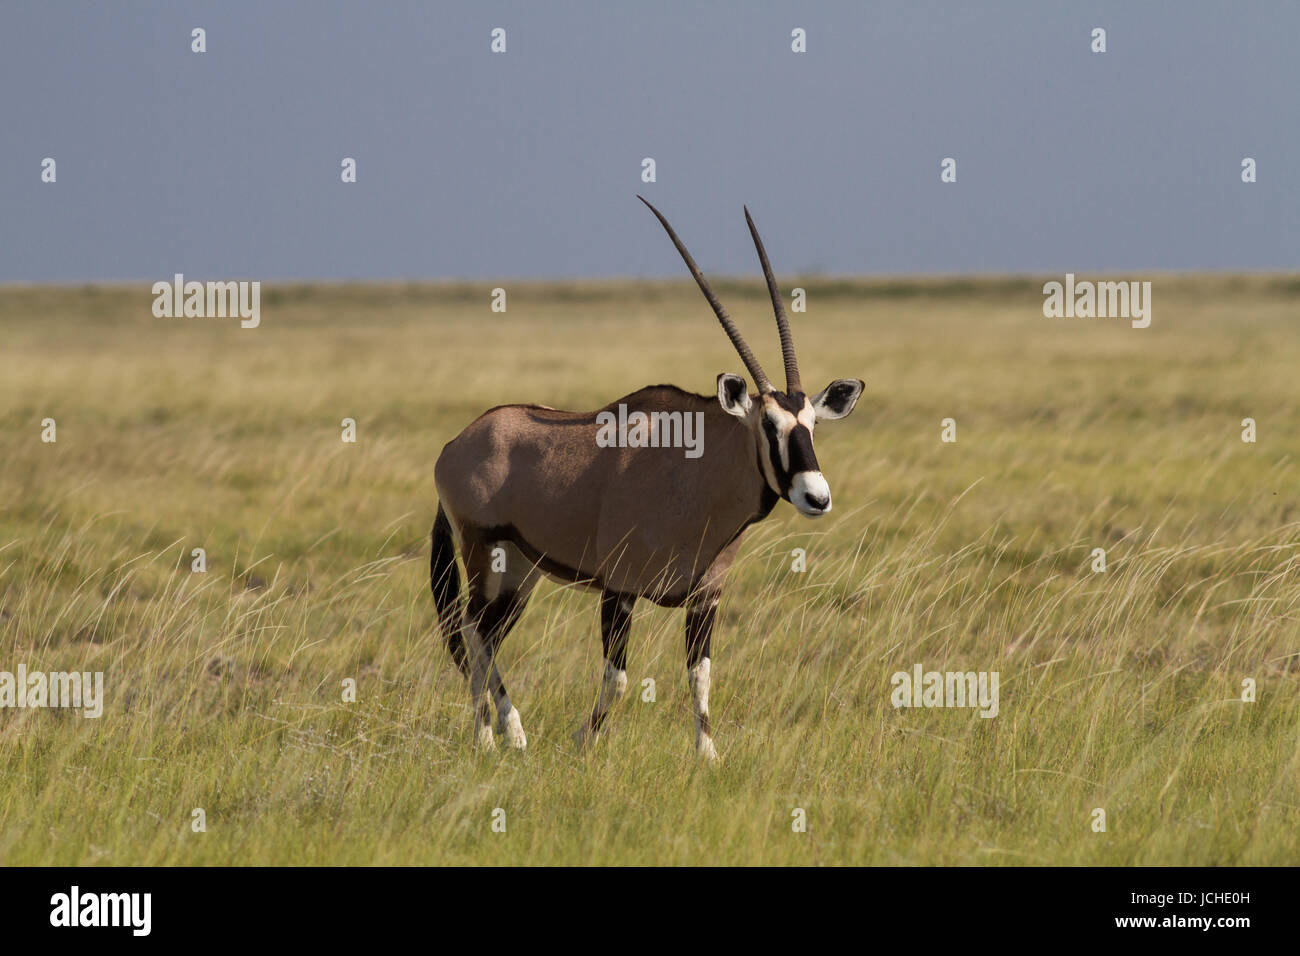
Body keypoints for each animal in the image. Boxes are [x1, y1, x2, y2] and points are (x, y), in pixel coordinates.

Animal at [430, 197, 864, 761]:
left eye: (811, 424)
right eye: (769, 425)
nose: (817, 496)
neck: (696, 474)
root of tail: (455, 445)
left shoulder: (705, 599)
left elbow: (700, 677)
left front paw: (708, 756)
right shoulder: (619, 589)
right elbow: (617, 678)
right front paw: (583, 743)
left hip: (520, 573)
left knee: (482, 632)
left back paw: (501, 731)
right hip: (485, 555)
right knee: (474, 632)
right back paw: (495, 733)